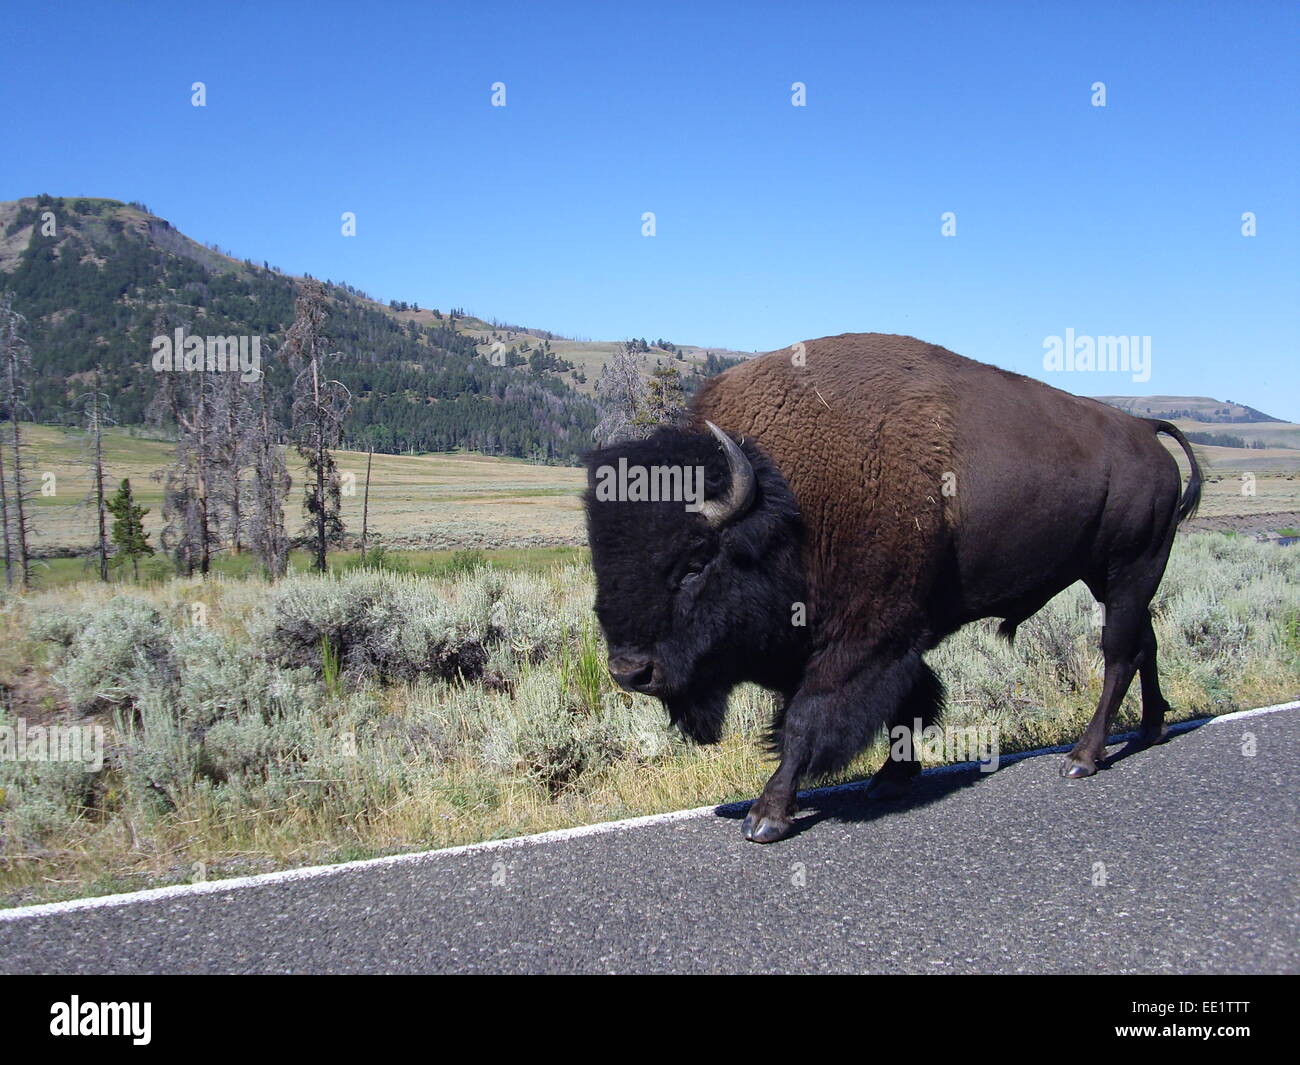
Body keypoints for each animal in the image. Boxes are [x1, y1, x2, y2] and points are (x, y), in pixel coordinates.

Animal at [584, 332, 1202, 843]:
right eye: (601, 558)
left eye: (694, 563)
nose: (630, 672)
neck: (786, 505)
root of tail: (1144, 432)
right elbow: (908, 699)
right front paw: (892, 778)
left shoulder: (866, 635)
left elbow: (809, 717)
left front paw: (767, 816)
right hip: (1115, 579)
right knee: (1144, 643)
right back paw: (1150, 730)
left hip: (1130, 569)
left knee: (1118, 655)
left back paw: (1083, 757)